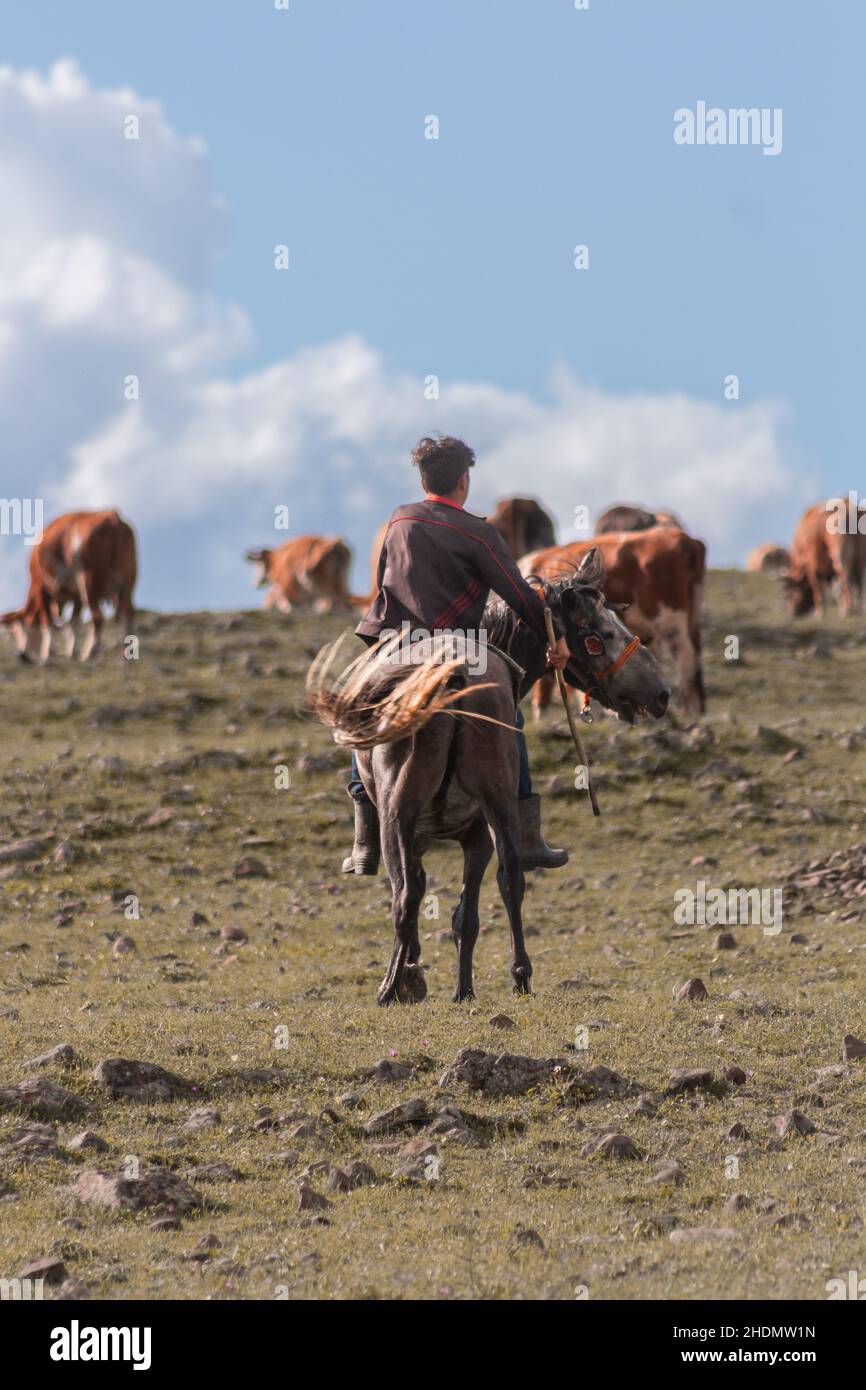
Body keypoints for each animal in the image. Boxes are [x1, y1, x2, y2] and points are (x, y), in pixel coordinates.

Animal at [1, 509, 137, 662]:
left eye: (16, 630)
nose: (21, 655)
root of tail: (112, 518)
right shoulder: (75, 595)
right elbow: (73, 623)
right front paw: (71, 653)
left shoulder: (41, 587)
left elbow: (47, 622)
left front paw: (47, 655)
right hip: (129, 578)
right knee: (128, 614)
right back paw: (127, 655)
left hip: (89, 580)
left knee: (97, 617)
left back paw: (89, 653)